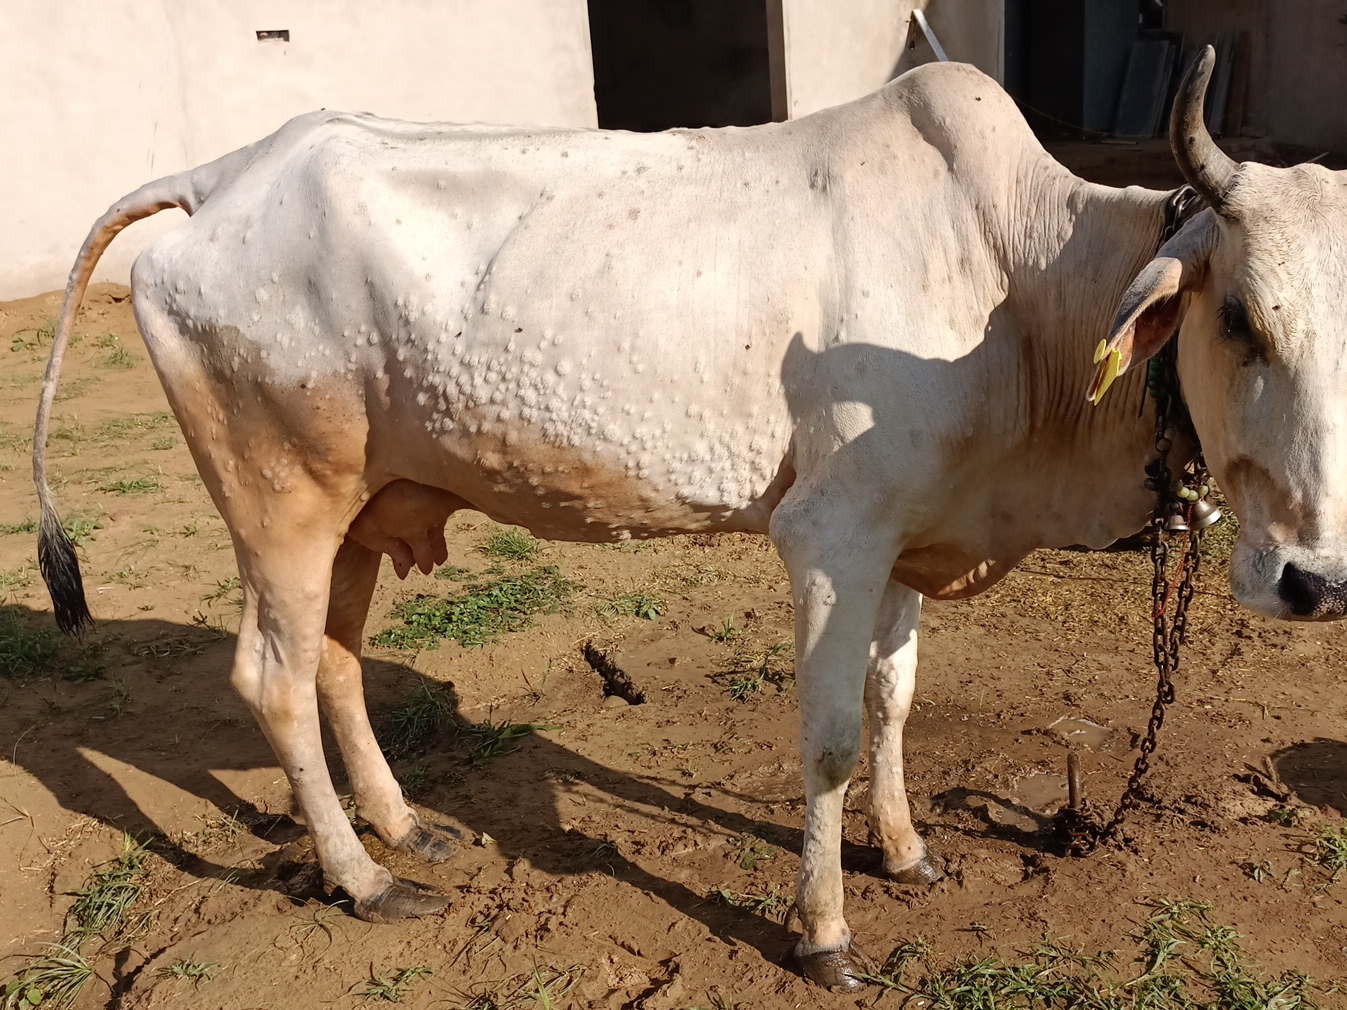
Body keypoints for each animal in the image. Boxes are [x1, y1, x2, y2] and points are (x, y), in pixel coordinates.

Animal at [32, 48, 1347, 989]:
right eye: (1239, 315)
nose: (1315, 580)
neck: (1019, 287)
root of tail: (222, 179)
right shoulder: (832, 536)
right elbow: (827, 737)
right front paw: (824, 929)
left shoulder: (909, 536)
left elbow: (893, 701)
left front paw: (905, 847)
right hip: (282, 503)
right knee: (273, 675)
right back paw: (360, 876)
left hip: (359, 508)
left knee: (337, 660)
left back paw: (406, 828)